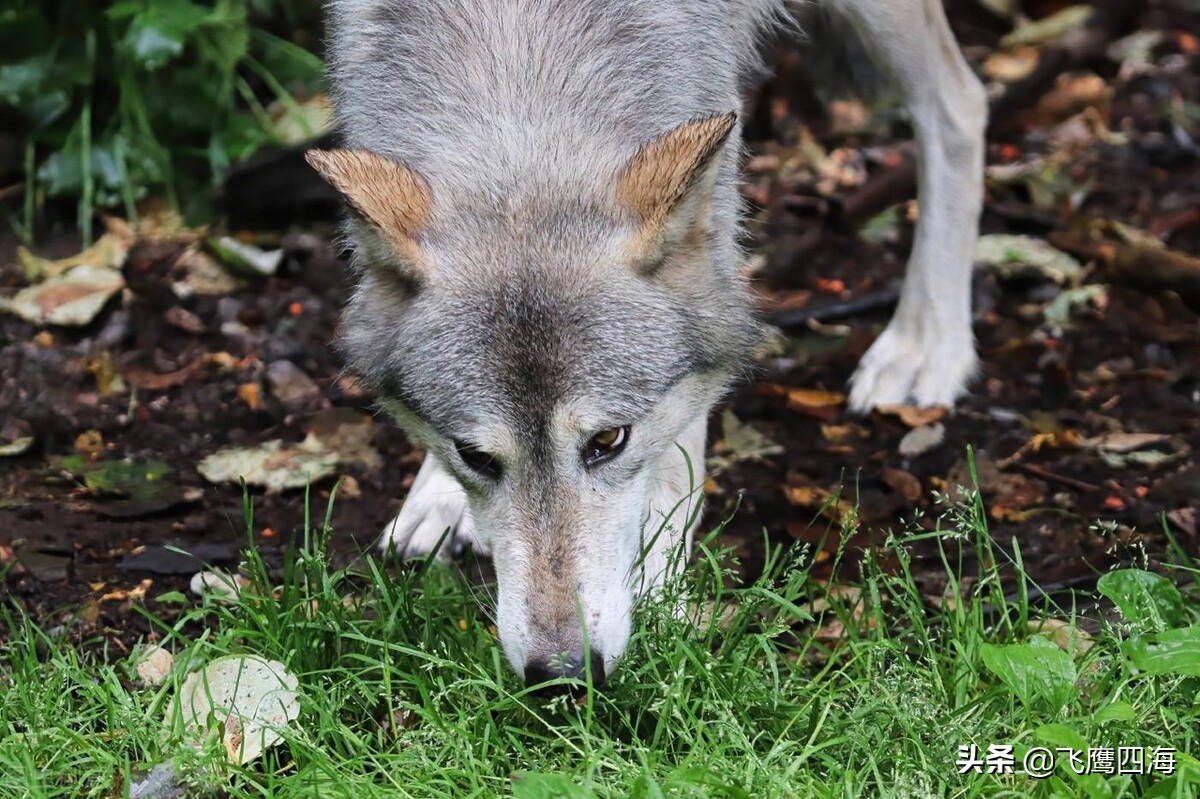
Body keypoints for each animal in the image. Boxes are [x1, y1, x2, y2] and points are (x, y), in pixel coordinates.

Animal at [307, 0, 986, 689]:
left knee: (958, 103)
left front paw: (661, 607)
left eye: (609, 441)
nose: (563, 674)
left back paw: (928, 343)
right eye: (474, 455)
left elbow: (675, 463)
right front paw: (441, 497)